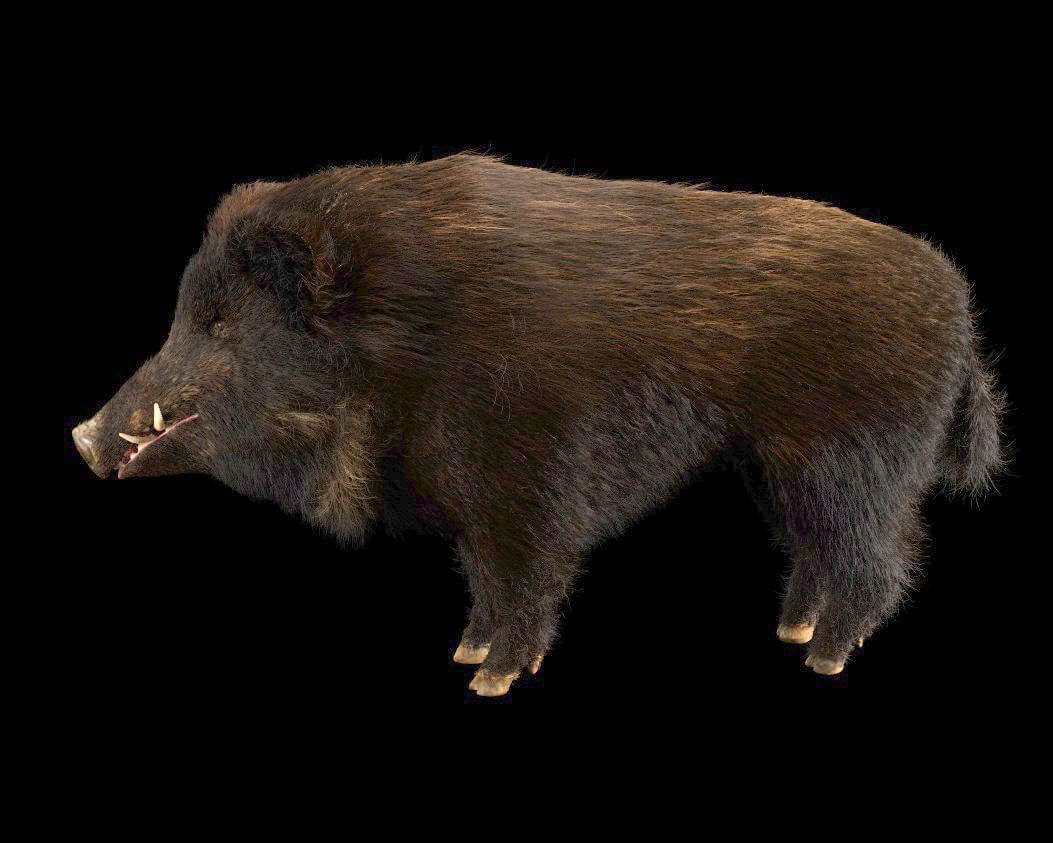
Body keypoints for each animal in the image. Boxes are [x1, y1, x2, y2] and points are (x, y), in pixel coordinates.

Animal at [71, 153, 1004, 695]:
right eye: (186, 314)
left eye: (221, 324)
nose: (79, 434)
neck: (402, 346)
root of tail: (959, 310)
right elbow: (483, 581)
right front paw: (464, 654)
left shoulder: (526, 482)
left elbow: (519, 575)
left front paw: (485, 679)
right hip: (776, 471)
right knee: (819, 551)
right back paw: (794, 630)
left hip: (856, 462)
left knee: (881, 557)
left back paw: (823, 656)